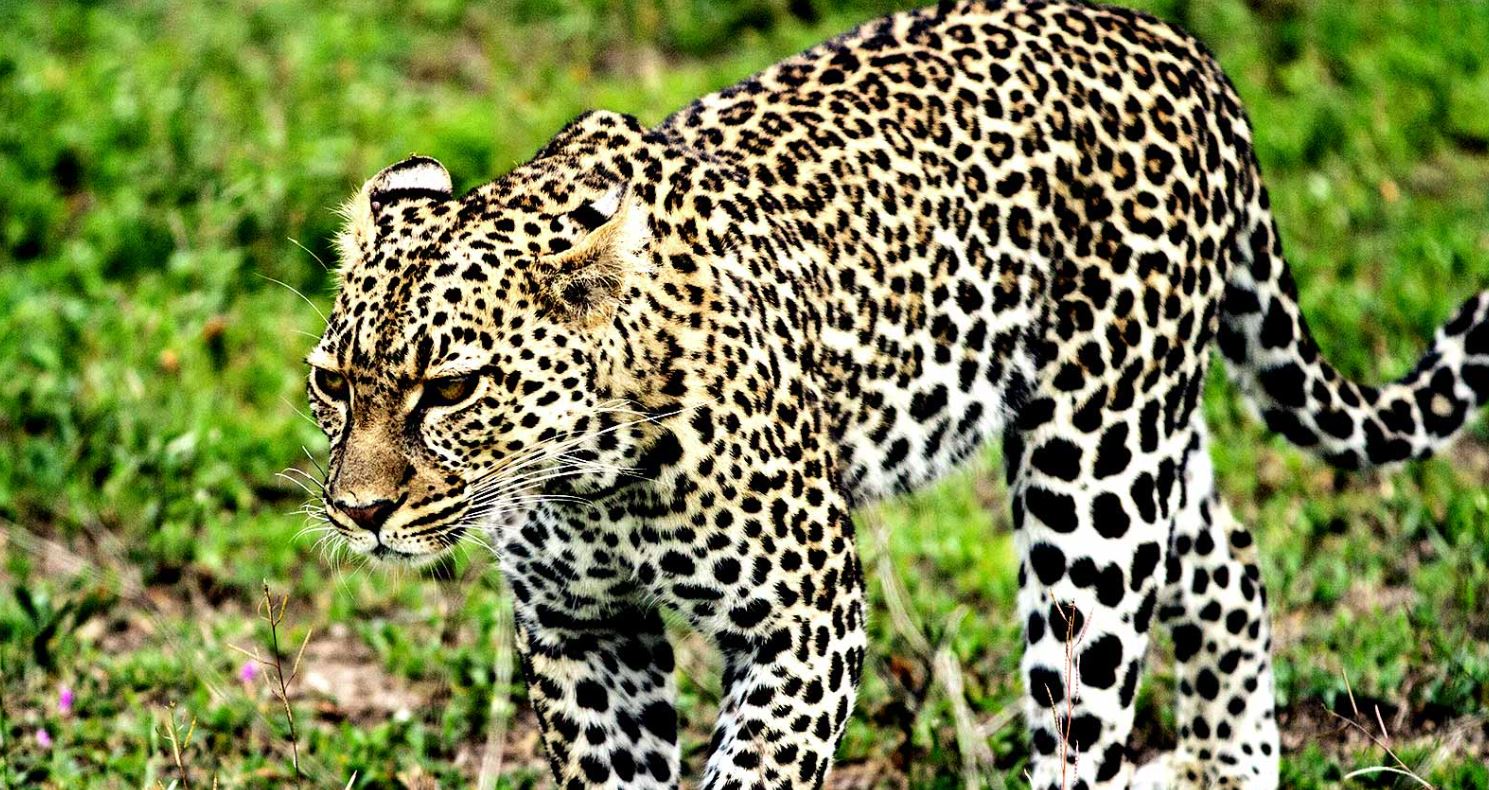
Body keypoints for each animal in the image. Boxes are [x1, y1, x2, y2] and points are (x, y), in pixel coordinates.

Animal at [303, 1, 1489, 787]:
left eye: (451, 387)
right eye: (330, 383)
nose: (357, 513)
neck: (587, 477)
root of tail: (1182, 47)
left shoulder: (805, 624)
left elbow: (754, 772)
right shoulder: (585, 633)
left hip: (1089, 474)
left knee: (1087, 699)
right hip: (1141, 434)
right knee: (1228, 562)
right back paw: (1229, 767)